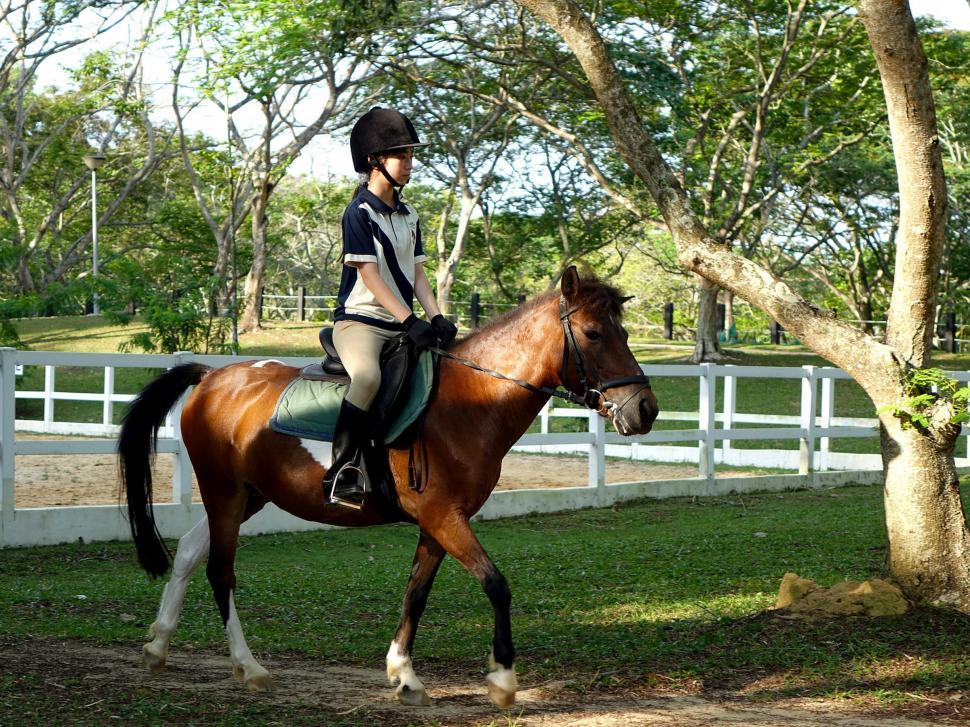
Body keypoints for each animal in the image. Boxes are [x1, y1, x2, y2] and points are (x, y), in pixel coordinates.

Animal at [118, 266, 659, 708]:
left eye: (626, 331)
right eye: (593, 333)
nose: (645, 410)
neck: (469, 401)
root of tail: (212, 376)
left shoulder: (439, 522)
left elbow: (416, 594)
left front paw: (404, 676)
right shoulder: (443, 516)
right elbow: (496, 584)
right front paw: (503, 679)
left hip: (248, 495)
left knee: (191, 551)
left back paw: (157, 645)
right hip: (225, 492)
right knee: (220, 572)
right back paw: (248, 668)